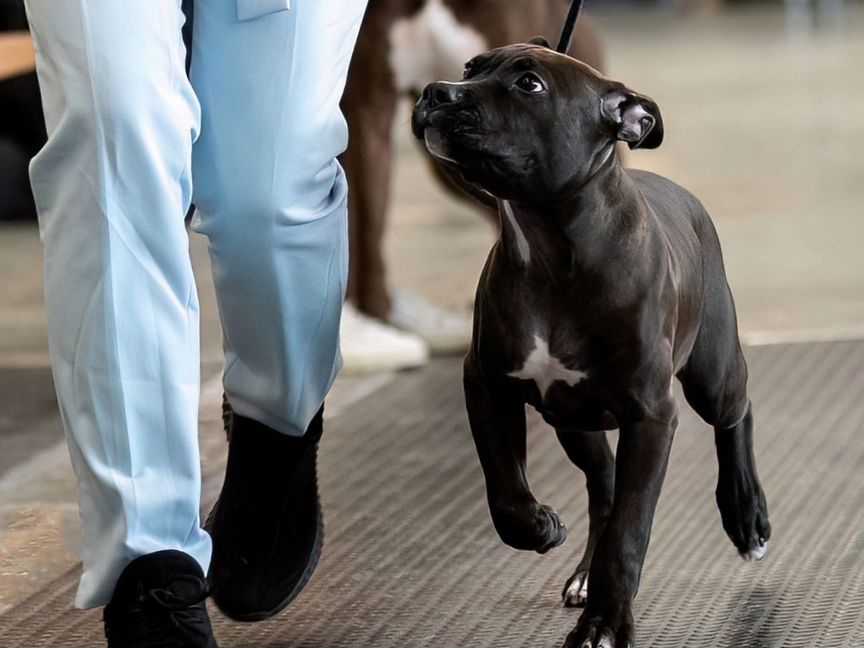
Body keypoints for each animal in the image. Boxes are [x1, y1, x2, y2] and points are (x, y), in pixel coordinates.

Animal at [412, 41, 768, 648]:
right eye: (470, 69)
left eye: (530, 84)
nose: (437, 92)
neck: (549, 246)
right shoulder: (486, 385)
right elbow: (504, 486)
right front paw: (538, 526)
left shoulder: (651, 415)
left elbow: (630, 528)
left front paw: (605, 623)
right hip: (573, 421)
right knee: (602, 484)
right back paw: (582, 572)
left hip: (710, 373)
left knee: (735, 411)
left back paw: (746, 515)